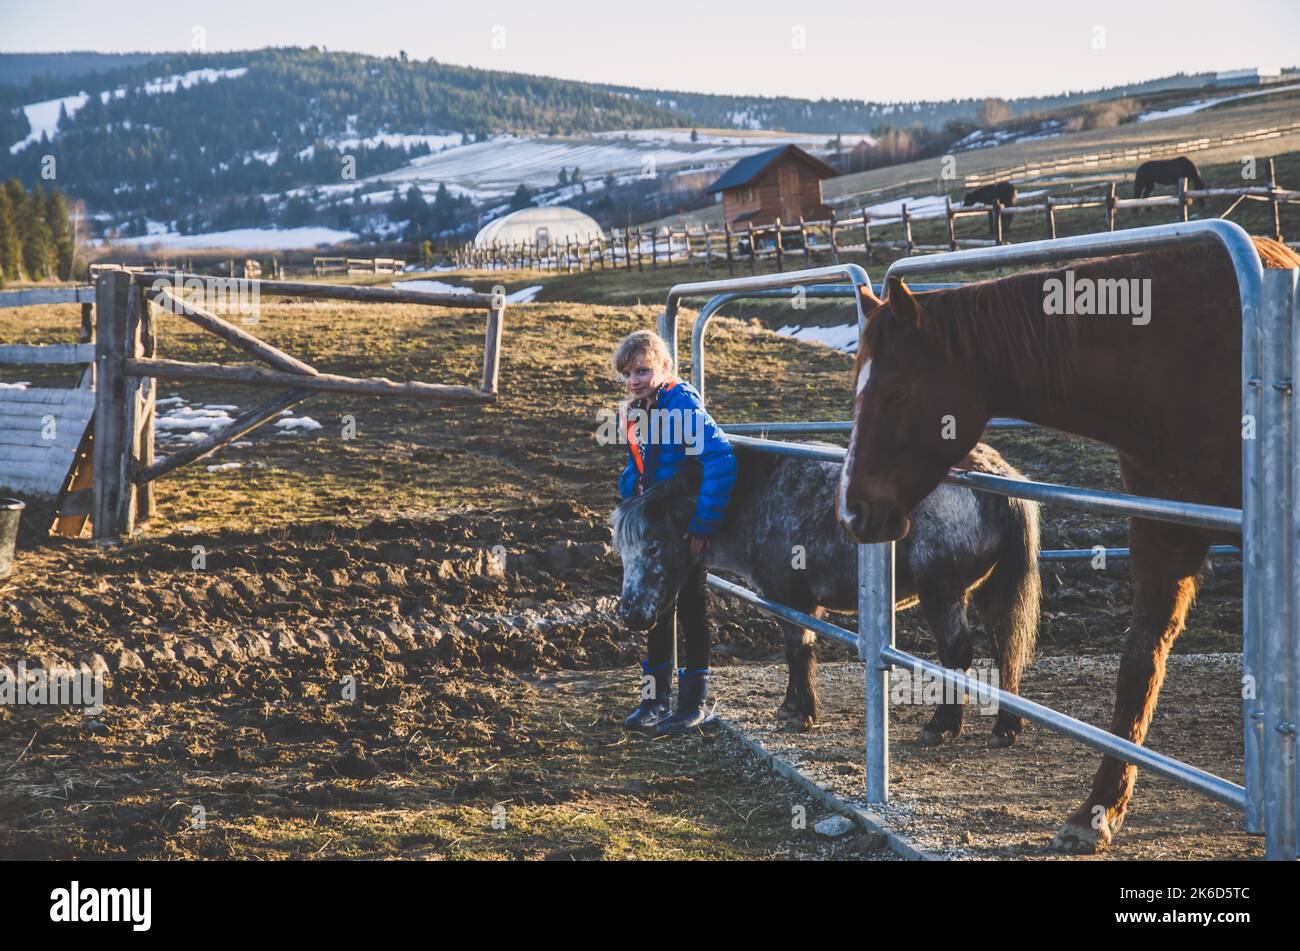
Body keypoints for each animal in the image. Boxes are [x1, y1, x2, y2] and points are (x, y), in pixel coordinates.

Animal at [611, 441, 1040, 742]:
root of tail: (994, 478)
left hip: (942, 595)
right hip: (988, 593)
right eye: (622, 550)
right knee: (1005, 650)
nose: (630, 613)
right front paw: (795, 708)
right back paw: (1006, 726)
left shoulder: (792, 599)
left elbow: (797, 650)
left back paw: (941, 726)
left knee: (957, 655)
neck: (755, 494)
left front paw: (797, 712)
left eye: (653, 547)